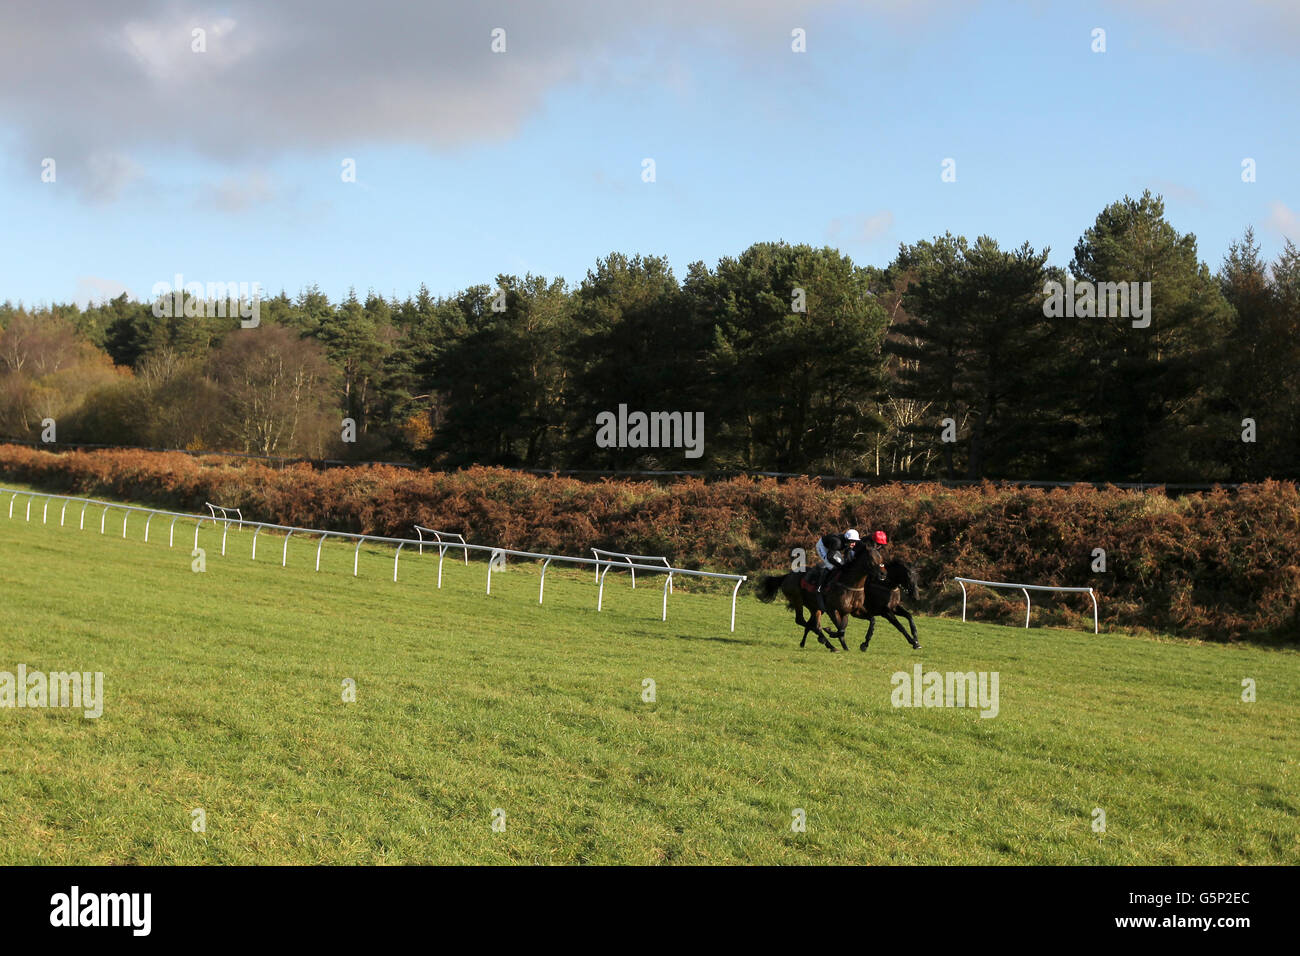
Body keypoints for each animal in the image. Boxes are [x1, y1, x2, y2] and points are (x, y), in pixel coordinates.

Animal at [757, 547, 887, 652]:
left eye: (881, 558)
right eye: (871, 559)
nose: (883, 574)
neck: (850, 584)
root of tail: (787, 576)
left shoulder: (854, 611)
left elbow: (871, 620)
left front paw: (864, 644)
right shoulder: (832, 610)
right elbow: (841, 630)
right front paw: (832, 633)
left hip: (815, 607)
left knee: (813, 624)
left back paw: (814, 643)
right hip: (798, 601)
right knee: (802, 621)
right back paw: (825, 641)